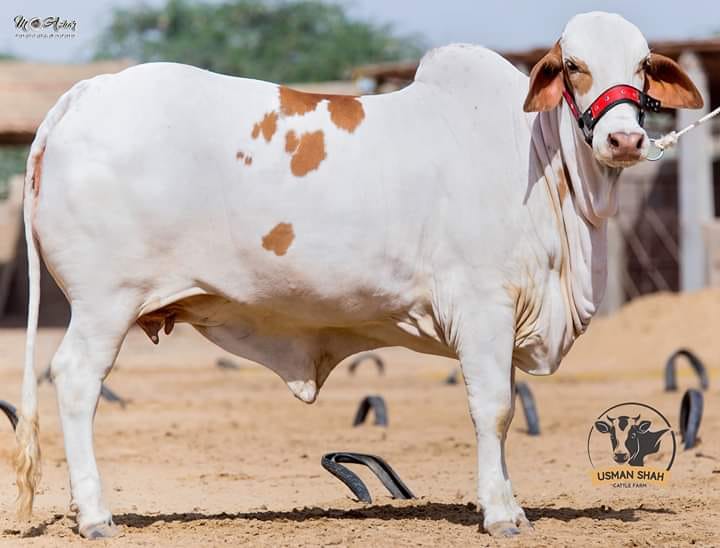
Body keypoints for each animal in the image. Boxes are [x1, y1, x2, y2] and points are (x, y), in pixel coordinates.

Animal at [14, 11, 702, 539]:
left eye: (643, 65)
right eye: (574, 65)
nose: (623, 139)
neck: (533, 156)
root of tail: (86, 93)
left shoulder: (502, 321)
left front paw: (509, 503)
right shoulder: (482, 306)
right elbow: (495, 410)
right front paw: (501, 515)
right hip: (104, 305)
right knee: (75, 382)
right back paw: (96, 516)